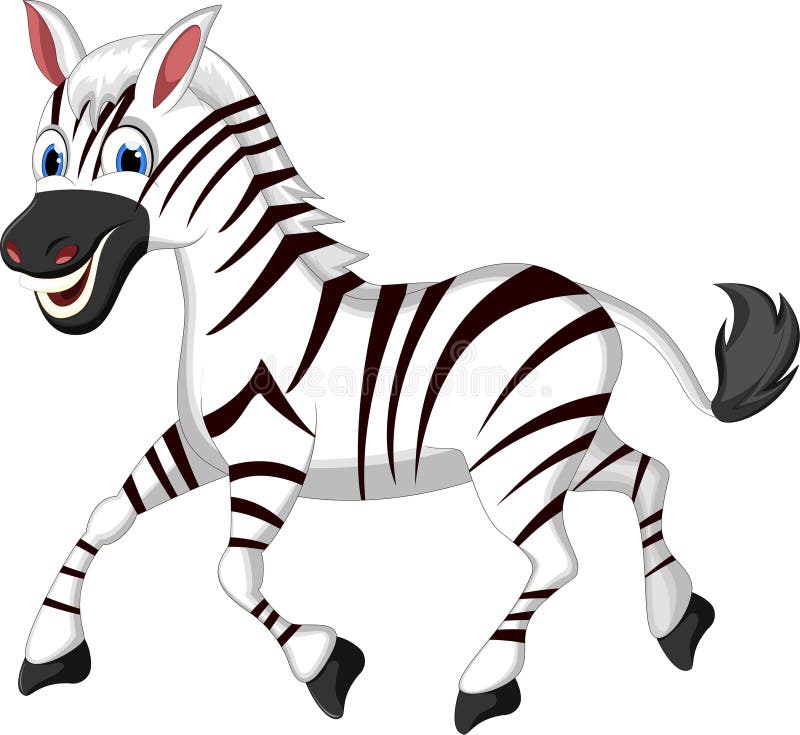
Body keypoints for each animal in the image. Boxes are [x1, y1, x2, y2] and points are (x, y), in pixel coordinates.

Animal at [2, 3, 798, 732]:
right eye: (48, 158)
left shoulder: (269, 463)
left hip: (519, 461)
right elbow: (105, 515)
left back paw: (486, 682)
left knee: (558, 559)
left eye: (132, 159)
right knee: (648, 473)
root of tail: (589, 295)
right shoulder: (201, 450)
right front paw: (48, 650)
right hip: (558, 442)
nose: (24, 251)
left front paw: (325, 664)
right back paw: (675, 618)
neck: (242, 312)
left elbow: (232, 571)